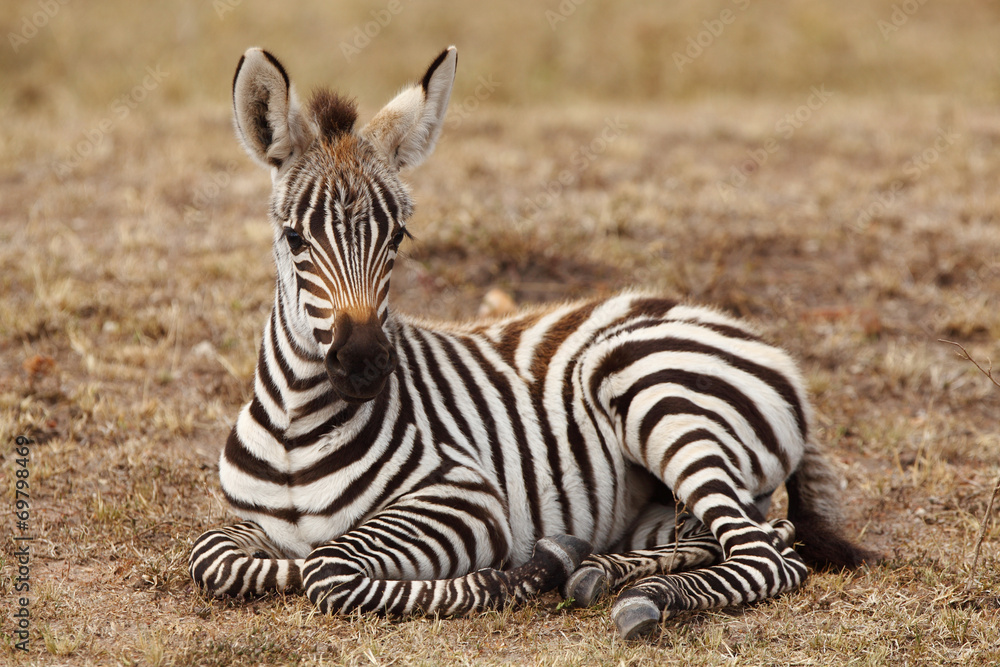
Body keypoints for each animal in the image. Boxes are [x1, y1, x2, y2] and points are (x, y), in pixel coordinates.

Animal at [189, 45, 878, 639]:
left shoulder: (466, 498)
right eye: (294, 238)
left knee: (766, 558)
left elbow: (328, 570)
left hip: (653, 389)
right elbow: (215, 555)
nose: (363, 364)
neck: (296, 426)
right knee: (752, 535)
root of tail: (742, 330)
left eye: (399, 238)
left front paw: (519, 575)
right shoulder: (245, 525)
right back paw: (599, 571)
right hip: (664, 504)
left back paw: (639, 596)